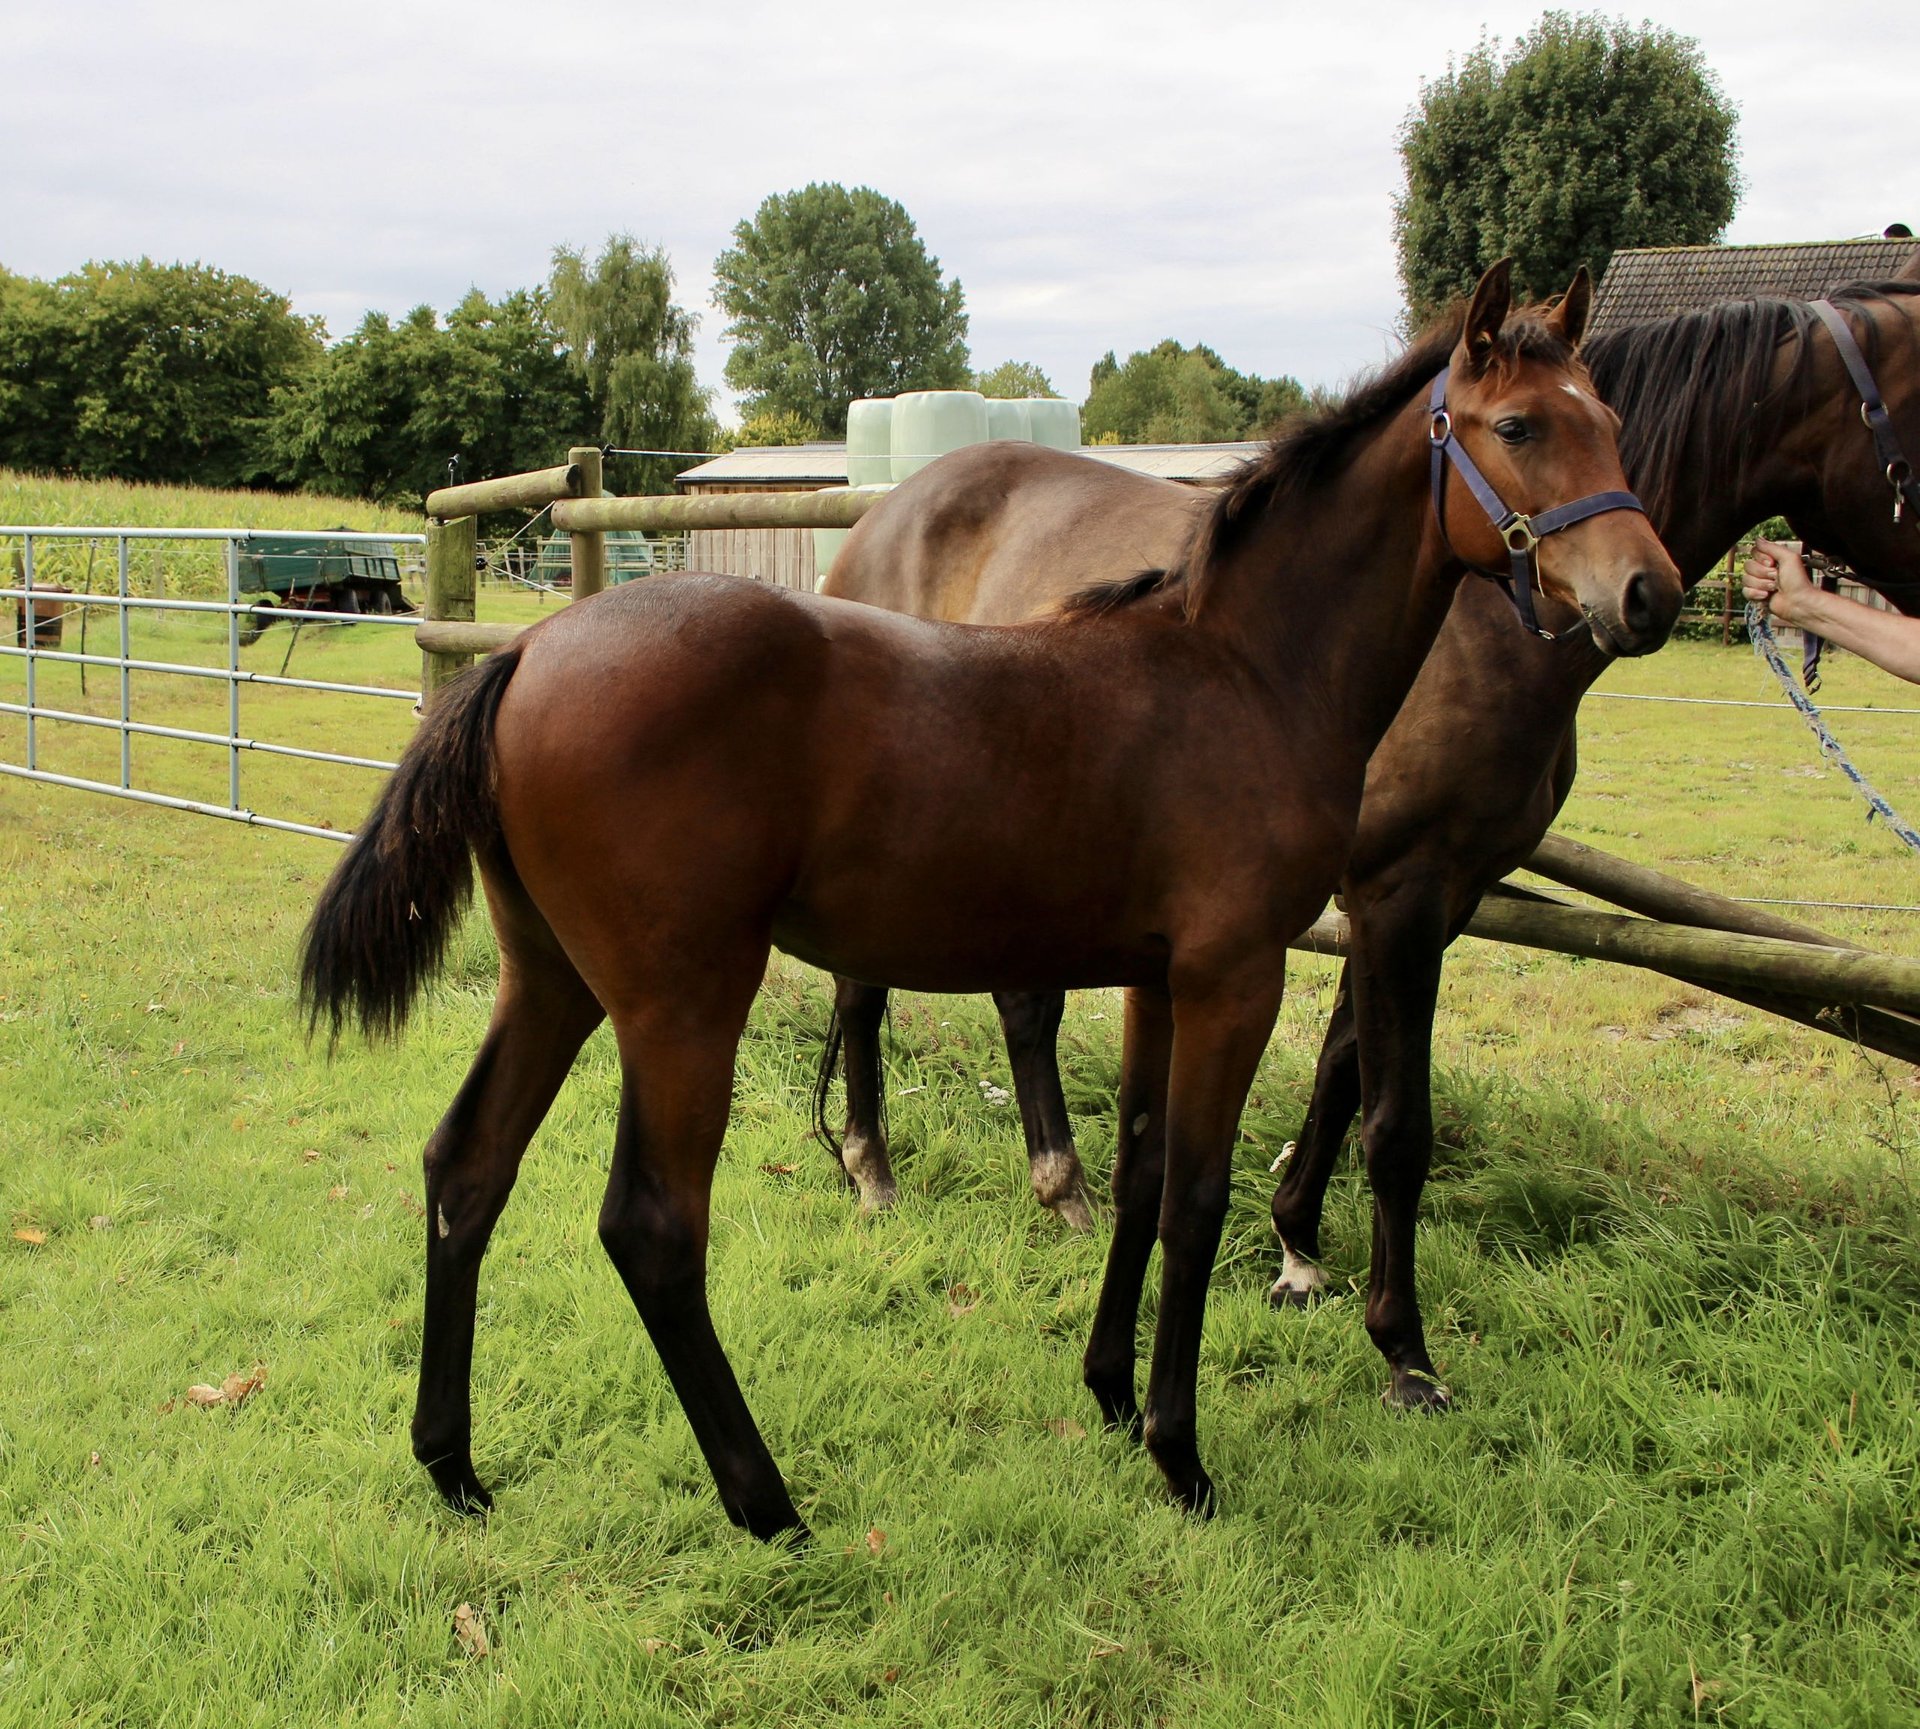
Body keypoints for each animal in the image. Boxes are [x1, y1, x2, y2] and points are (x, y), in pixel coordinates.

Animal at [301, 265, 1678, 1536]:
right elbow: (1197, 1195)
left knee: (466, 1166)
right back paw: (766, 1502)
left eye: (1611, 418)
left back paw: (455, 1466)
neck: (1243, 670)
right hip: (681, 1000)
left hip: (551, 978)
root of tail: (529, 649)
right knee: (653, 1227)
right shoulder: (1236, 973)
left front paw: (1112, 1394)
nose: (1649, 594)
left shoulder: (1157, 976)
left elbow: (1137, 1171)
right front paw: (1182, 1456)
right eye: (1518, 426)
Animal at [817, 278, 1920, 1412]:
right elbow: (1396, 1121)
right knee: (866, 989)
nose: (1644, 596)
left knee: (1019, 1001)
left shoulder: (1434, 889)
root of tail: (889, 510)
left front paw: (1299, 1250)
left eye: (1613, 426)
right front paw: (1402, 1347)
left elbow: (1346, 1065)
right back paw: (873, 1168)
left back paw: (1060, 1185)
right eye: (1518, 428)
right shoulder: (1400, 889)